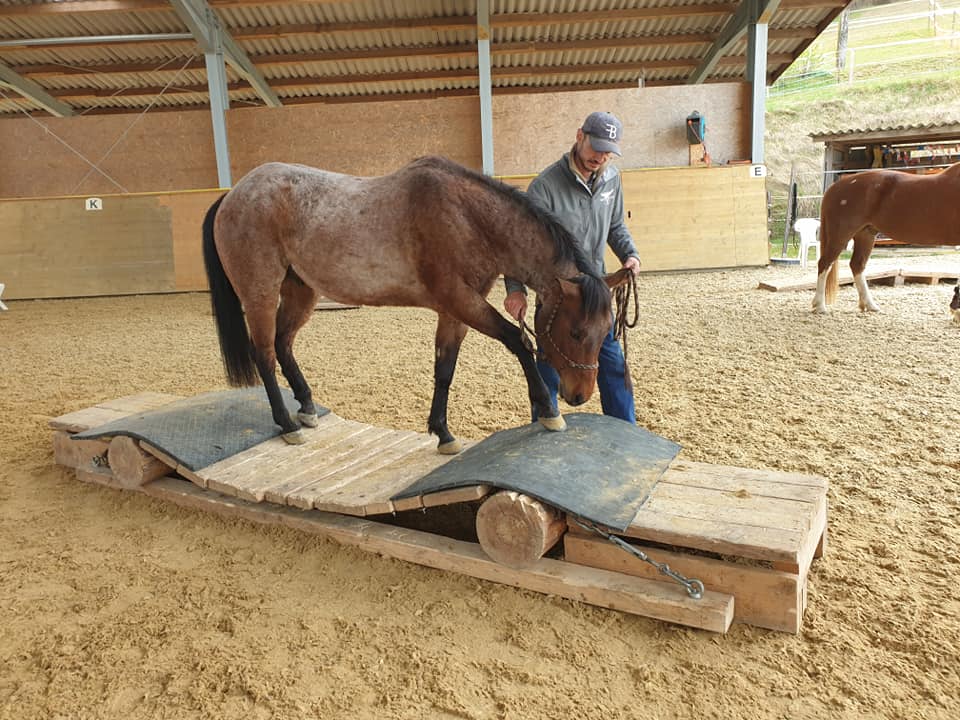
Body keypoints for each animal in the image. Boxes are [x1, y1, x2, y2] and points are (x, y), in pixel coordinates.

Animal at [202, 156, 632, 452]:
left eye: (605, 331)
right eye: (575, 332)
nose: (579, 395)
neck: (468, 218)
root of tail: (233, 194)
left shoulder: (455, 311)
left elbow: (444, 369)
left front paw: (442, 432)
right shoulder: (461, 300)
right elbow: (518, 341)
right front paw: (548, 411)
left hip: (301, 292)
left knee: (283, 343)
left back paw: (306, 407)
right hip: (260, 292)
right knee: (263, 353)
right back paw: (287, 425)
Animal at [812, 162, 960, 314]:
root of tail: (836, 186)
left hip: (866, 234)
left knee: (857, 265)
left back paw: (870, 305)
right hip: (841, 234)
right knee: (825, 264)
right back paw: (820, 306)